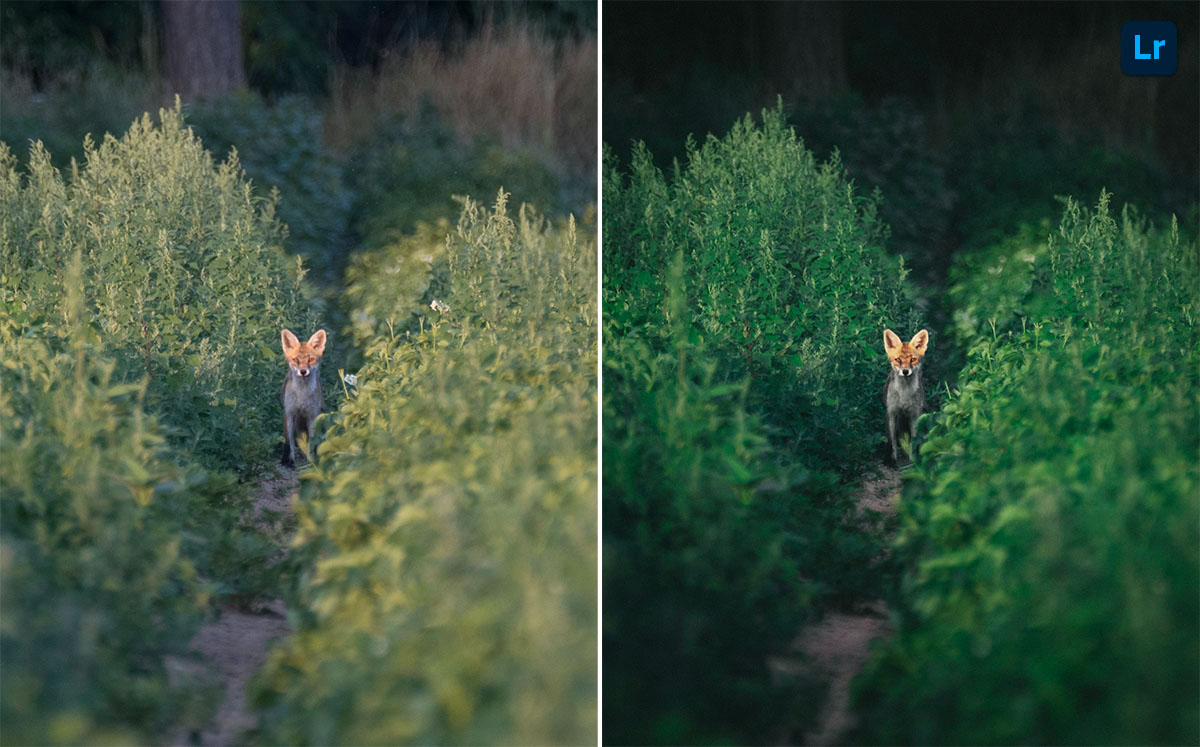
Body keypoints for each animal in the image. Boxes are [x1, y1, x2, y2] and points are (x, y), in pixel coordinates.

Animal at [280, 328, 326, 468]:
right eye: (295, 359)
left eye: (311, 359)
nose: (303, 371)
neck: (302, 395)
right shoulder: (289, 413)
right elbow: (289, 442)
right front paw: (288, 461)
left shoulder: (312, 415)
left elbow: (312, 441)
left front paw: (312, 460)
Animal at [883, 328, 929, 465]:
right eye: (898, 360)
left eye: (913, 359)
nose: (905, 371)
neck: (904, 394)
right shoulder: (891, 412)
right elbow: (892, 442)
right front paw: (892, 460)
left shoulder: (915, 414)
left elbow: (914, 441)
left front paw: (914, 460)